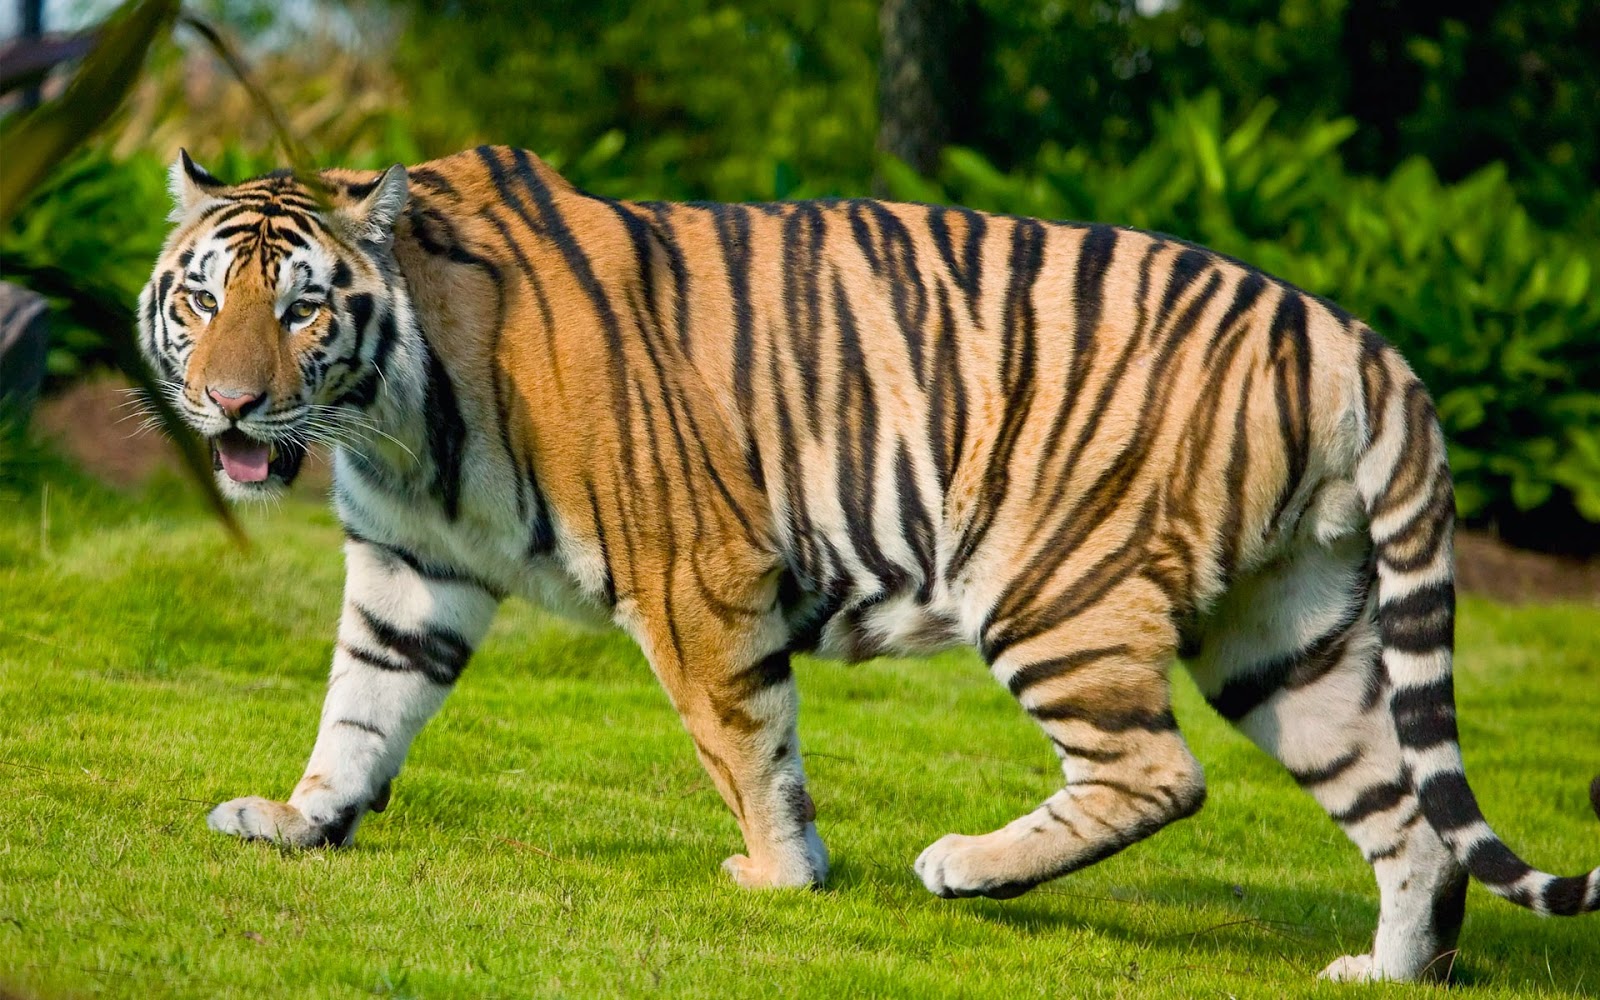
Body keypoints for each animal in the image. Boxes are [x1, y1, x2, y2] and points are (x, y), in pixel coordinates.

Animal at [138, 145, 1599, 982]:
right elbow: (361, 706)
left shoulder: (693, 569)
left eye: (302, 308)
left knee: (1160, 772)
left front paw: (782, 877)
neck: (393, 412)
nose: (227, 405)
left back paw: (965, 866)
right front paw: (301, 819)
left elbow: (744, 741)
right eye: (205, 298)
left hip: (1053, 583)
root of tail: (1358, 336)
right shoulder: (408, 568)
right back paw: (1386, 969)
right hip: (1283, 629)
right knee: (1406, 816)